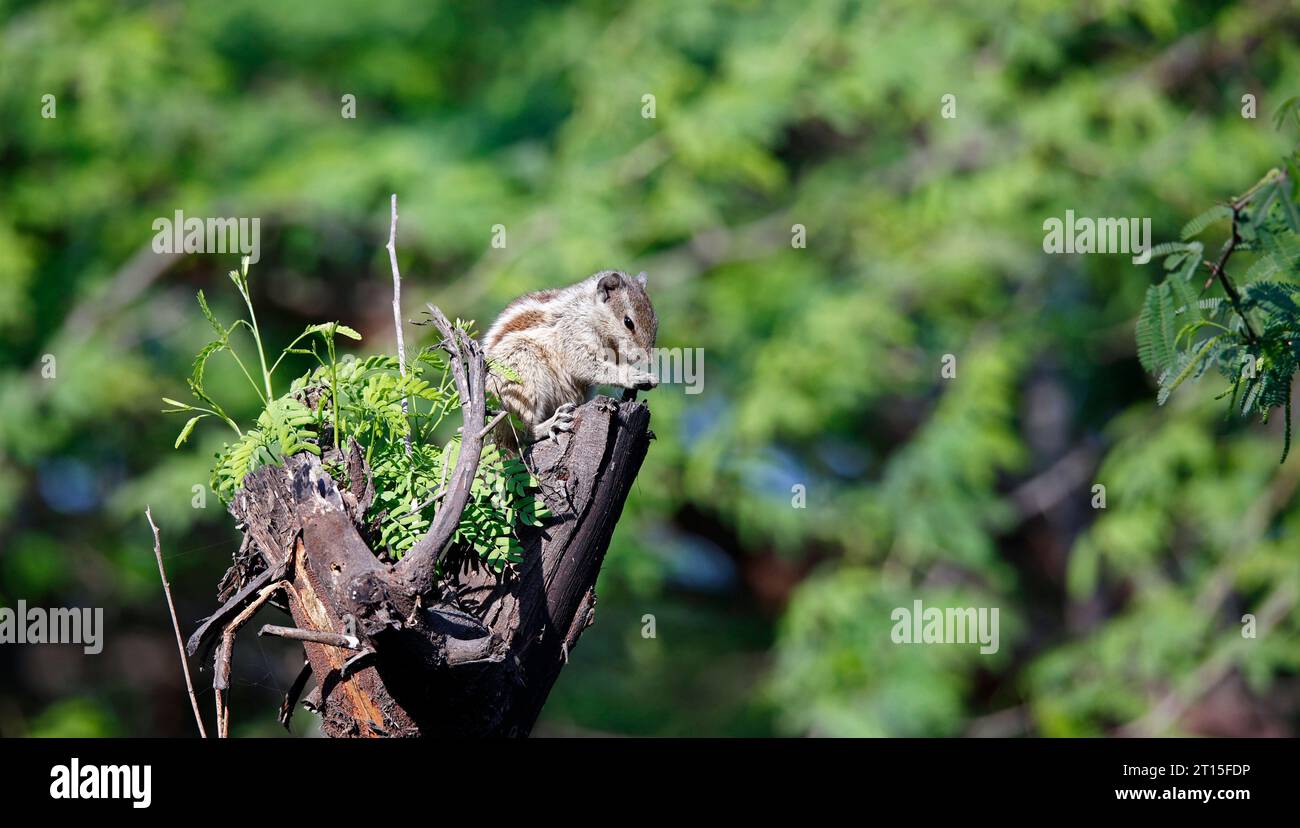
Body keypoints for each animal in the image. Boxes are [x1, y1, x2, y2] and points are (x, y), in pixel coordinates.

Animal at [484, 269, 659, 446]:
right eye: (628, 322)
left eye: (655, 322)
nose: (648, 359)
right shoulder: (573, 333)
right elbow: (583, 363)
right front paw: (637, 376)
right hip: (520, 371)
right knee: (521, 434)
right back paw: (551, 423)